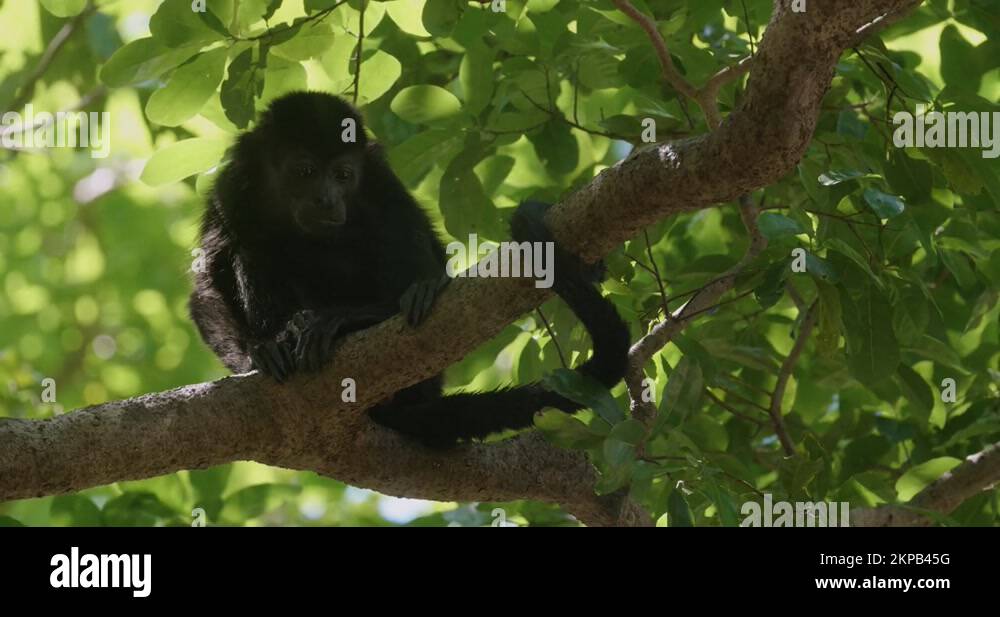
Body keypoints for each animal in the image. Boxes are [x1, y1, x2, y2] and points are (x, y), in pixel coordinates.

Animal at [189, 91, 630, 448]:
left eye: (343, 174)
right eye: (305, 170)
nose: (327, 199)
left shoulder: (378, 176)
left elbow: (426, 246)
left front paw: (403, 295)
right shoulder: (232, 187)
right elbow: (207, 282)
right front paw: (259, 351)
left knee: (391, 228)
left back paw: (351, 319)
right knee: (253, 250)